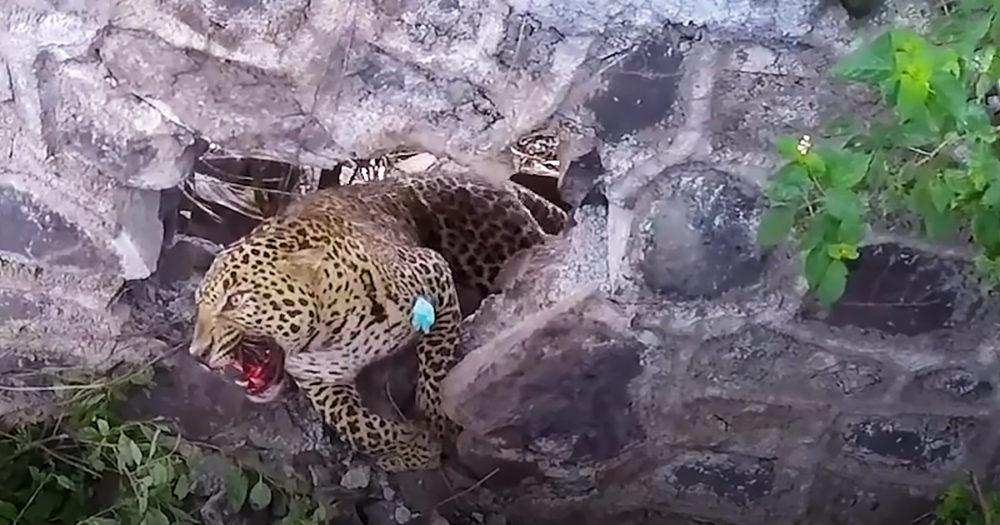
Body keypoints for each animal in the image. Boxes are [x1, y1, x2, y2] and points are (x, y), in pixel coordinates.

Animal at [188, 168, 567, 472]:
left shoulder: (434, 273)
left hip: (495, 249)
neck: (329, 334)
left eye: (235, 300)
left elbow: (437, 362)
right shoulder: (322, 382)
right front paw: (413, 448)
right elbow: (359, 426)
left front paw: (435, 421)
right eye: (199, 307)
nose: (197, 354)